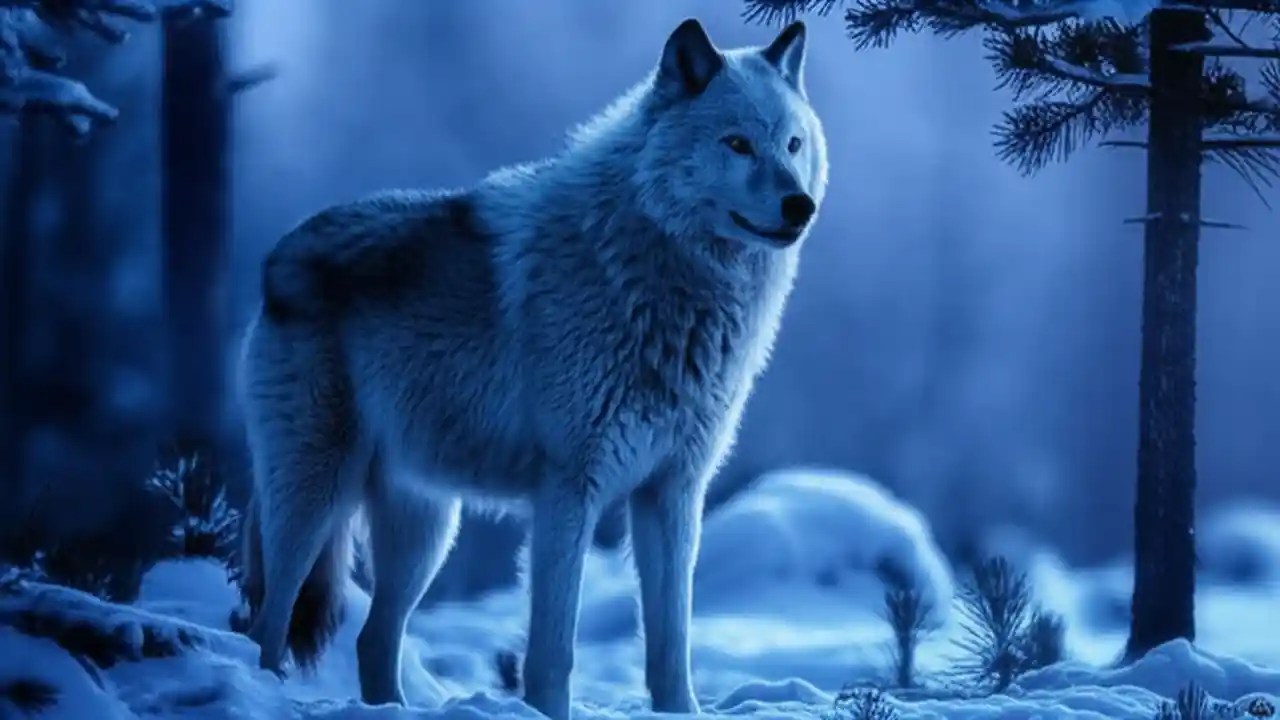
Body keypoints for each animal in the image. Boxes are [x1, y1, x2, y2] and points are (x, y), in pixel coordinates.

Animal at [236, 17, 827, 720]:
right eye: (736, 144)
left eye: (792, 144)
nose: (800, 205)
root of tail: (279, 252)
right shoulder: (569, 490)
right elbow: (552, 653)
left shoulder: (674, 493)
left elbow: (672, 648)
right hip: (314, 501)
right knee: (266, 625)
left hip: (426, 532)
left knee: (372, 640)